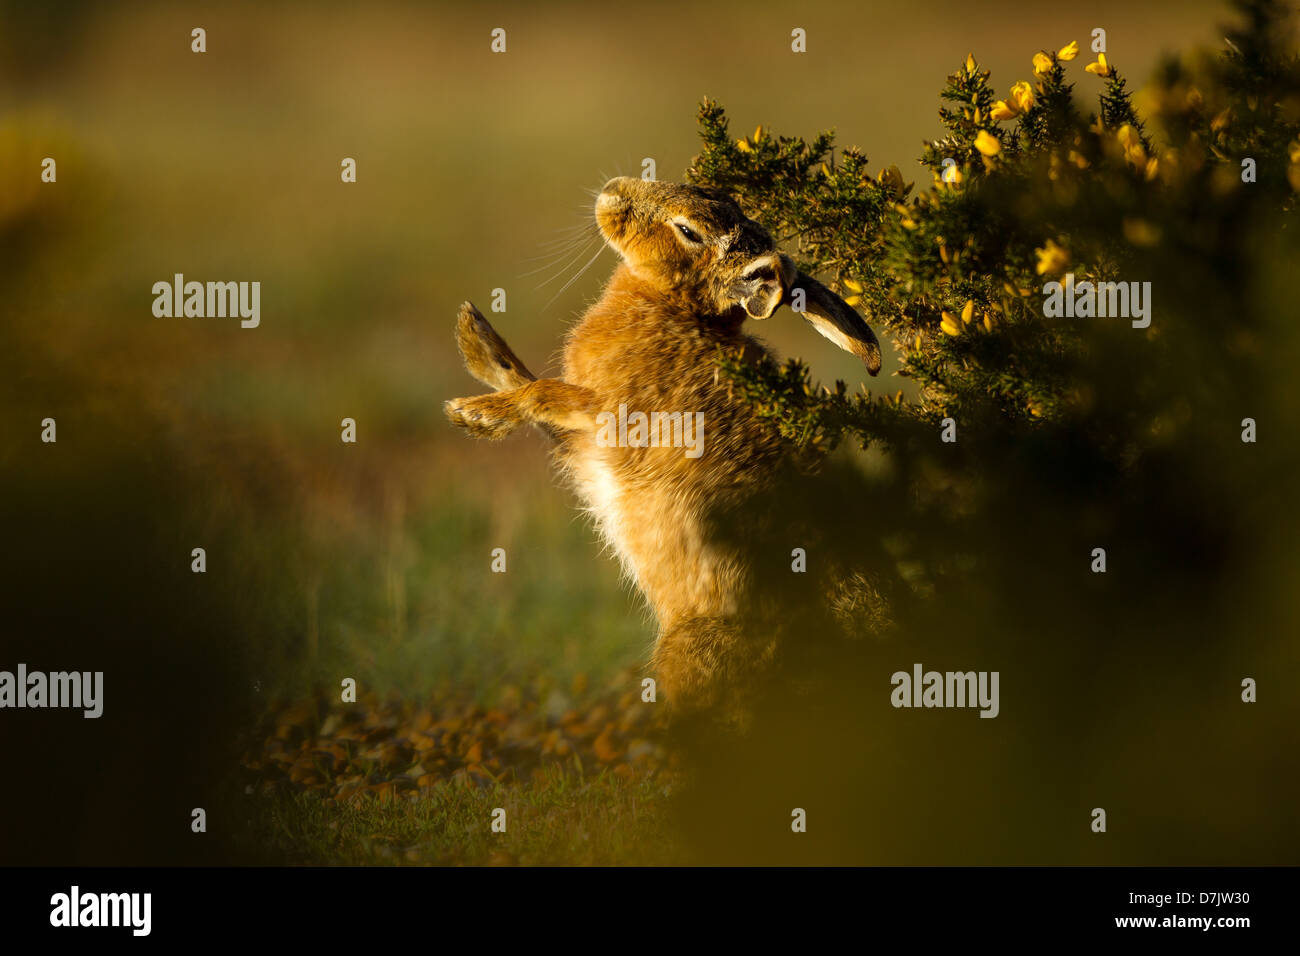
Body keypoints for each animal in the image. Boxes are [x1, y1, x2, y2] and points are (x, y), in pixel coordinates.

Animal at [446, 176, 885, 712]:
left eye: (688, 232)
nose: (613, 191)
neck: (679, 308)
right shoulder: (583, 444)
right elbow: (523, 382)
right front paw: (473, 334)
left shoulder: (606, 419)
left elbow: (541, 392)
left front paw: (472, 415)